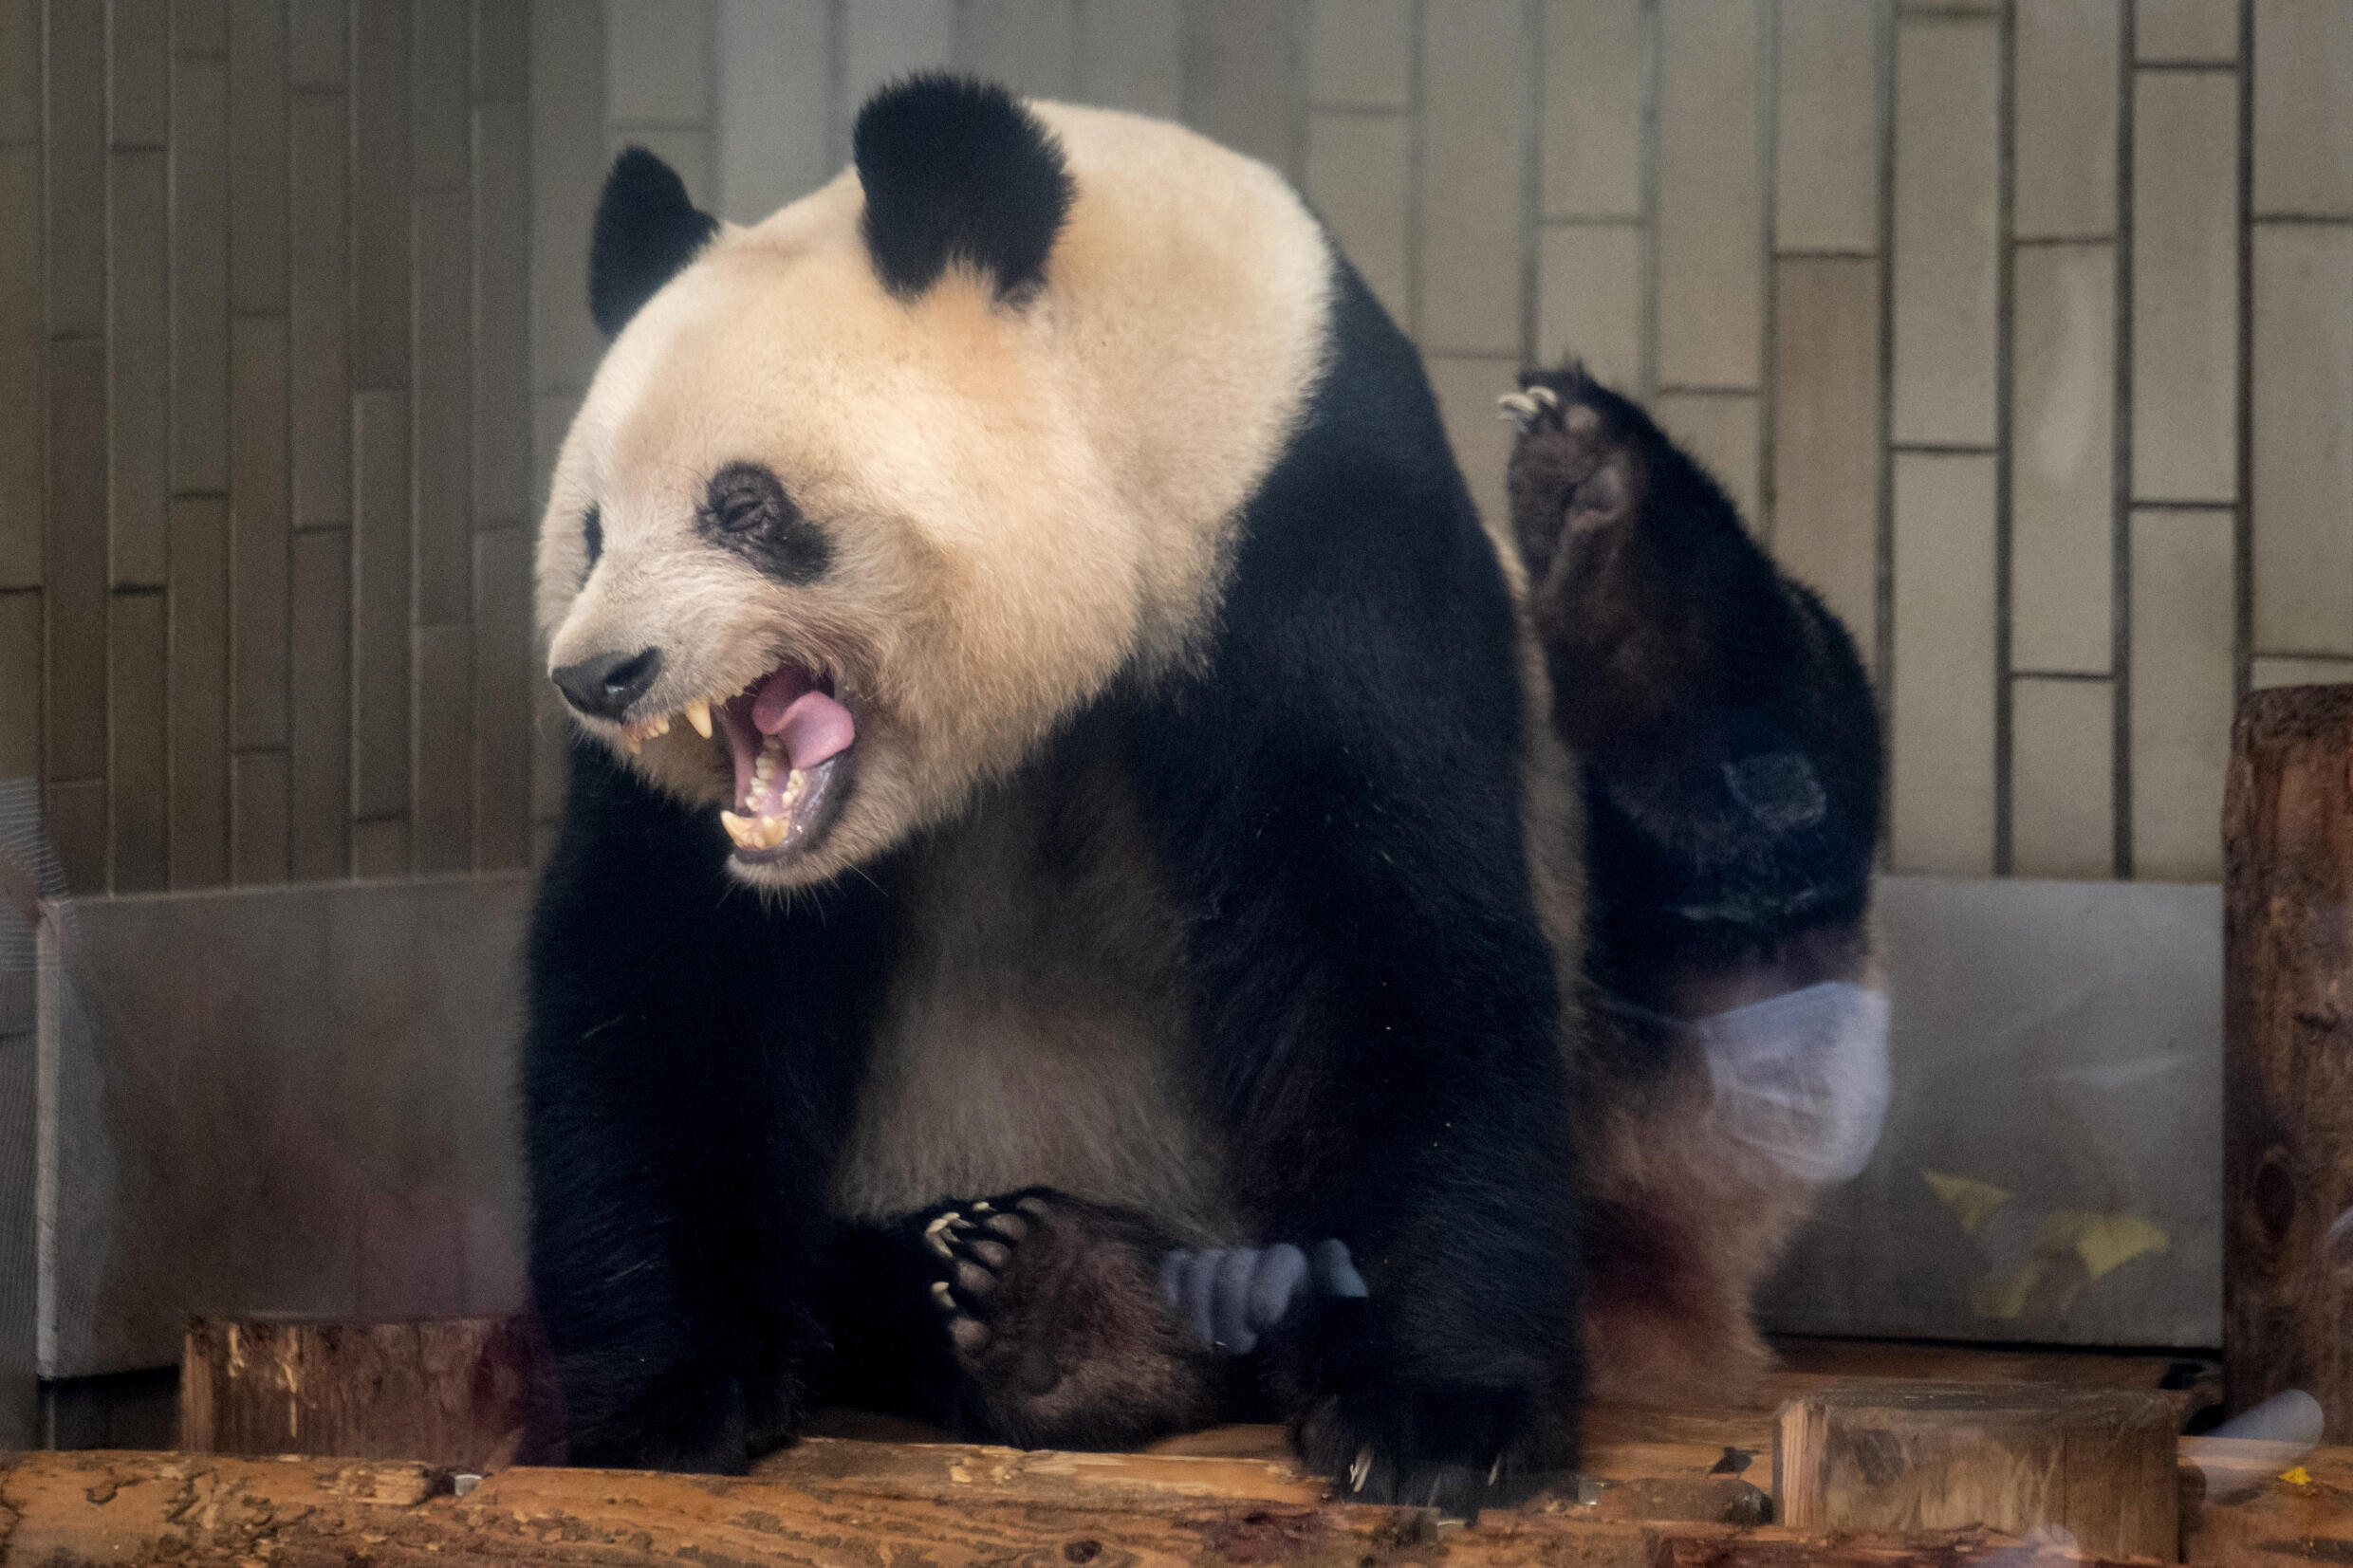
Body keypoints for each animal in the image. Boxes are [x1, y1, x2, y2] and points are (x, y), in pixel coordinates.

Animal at [524, 74, 1883, 1511]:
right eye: (593, 533)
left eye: (744, 505)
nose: (598, 676)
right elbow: (669, 980)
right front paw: (674, 1393)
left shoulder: (1303, 522)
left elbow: (1379, 926)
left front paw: (1433, 1413)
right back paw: (1073, 1310)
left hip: (1683, 1063)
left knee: (1748, 846)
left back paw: (1609, 528)